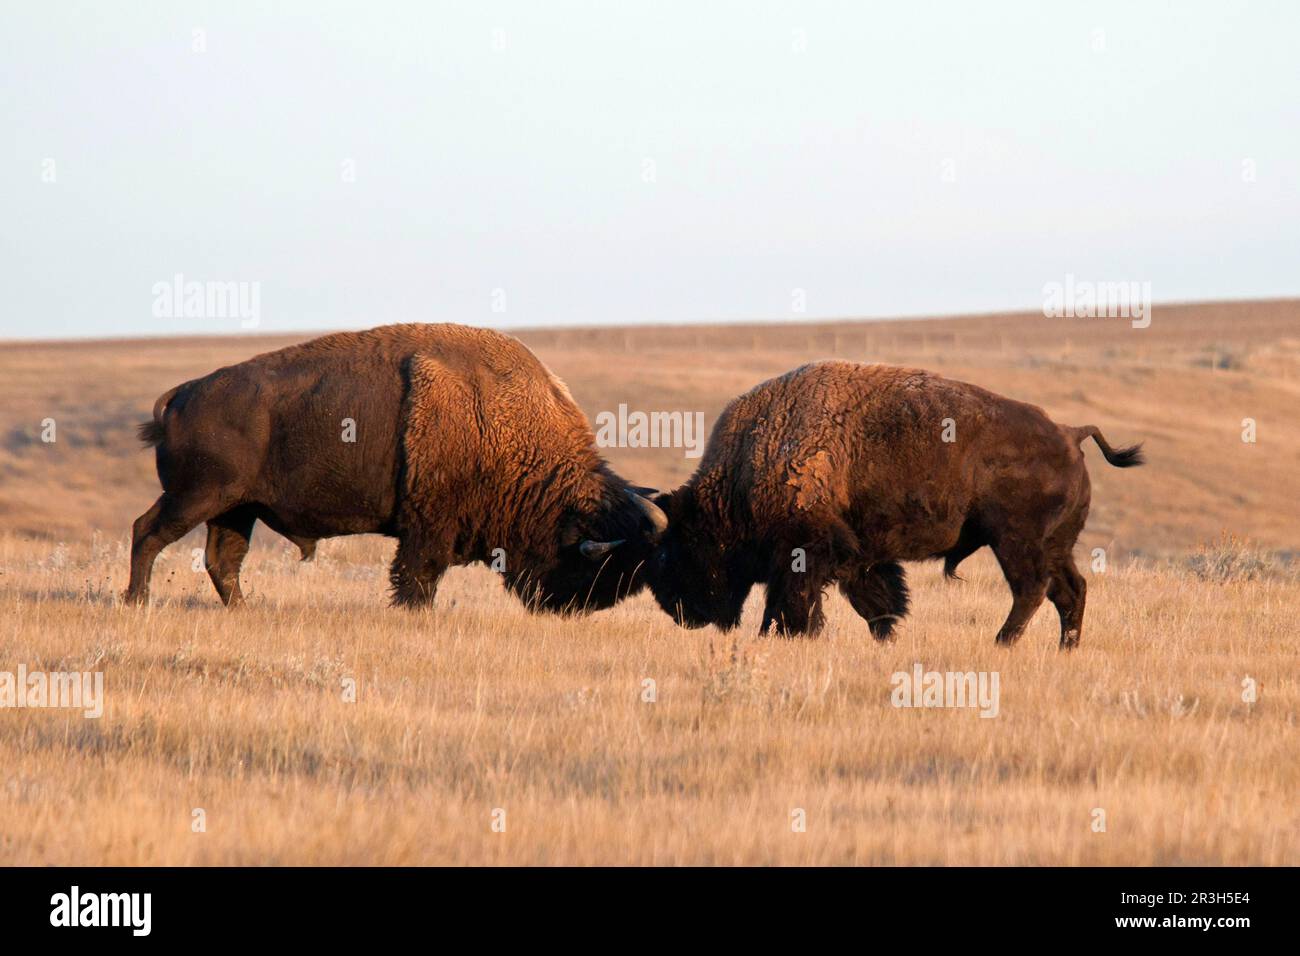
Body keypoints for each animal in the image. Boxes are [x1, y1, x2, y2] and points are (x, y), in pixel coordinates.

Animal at [126, 324, 667, 611]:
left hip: (236, 509)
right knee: (147, 532)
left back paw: (245, 609)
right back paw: (136, 601)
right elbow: (417, 580)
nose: (568, 608)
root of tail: (182, 396)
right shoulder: (427, 531)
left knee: (223, 560)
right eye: (594, 565)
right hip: (195, 498)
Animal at [646, 361, 1143, 648]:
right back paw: (1065, 647)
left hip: (1016, 542)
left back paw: (1001, 642)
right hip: (1055, 545)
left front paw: (794, 635)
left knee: (1032, 590)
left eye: (681, 548)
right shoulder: (858, 554)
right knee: (1070, 590)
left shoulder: (806, 549)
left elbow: (797, 599)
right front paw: (883, 636)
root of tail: (1070, 433)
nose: (680, 612)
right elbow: (872, 598)